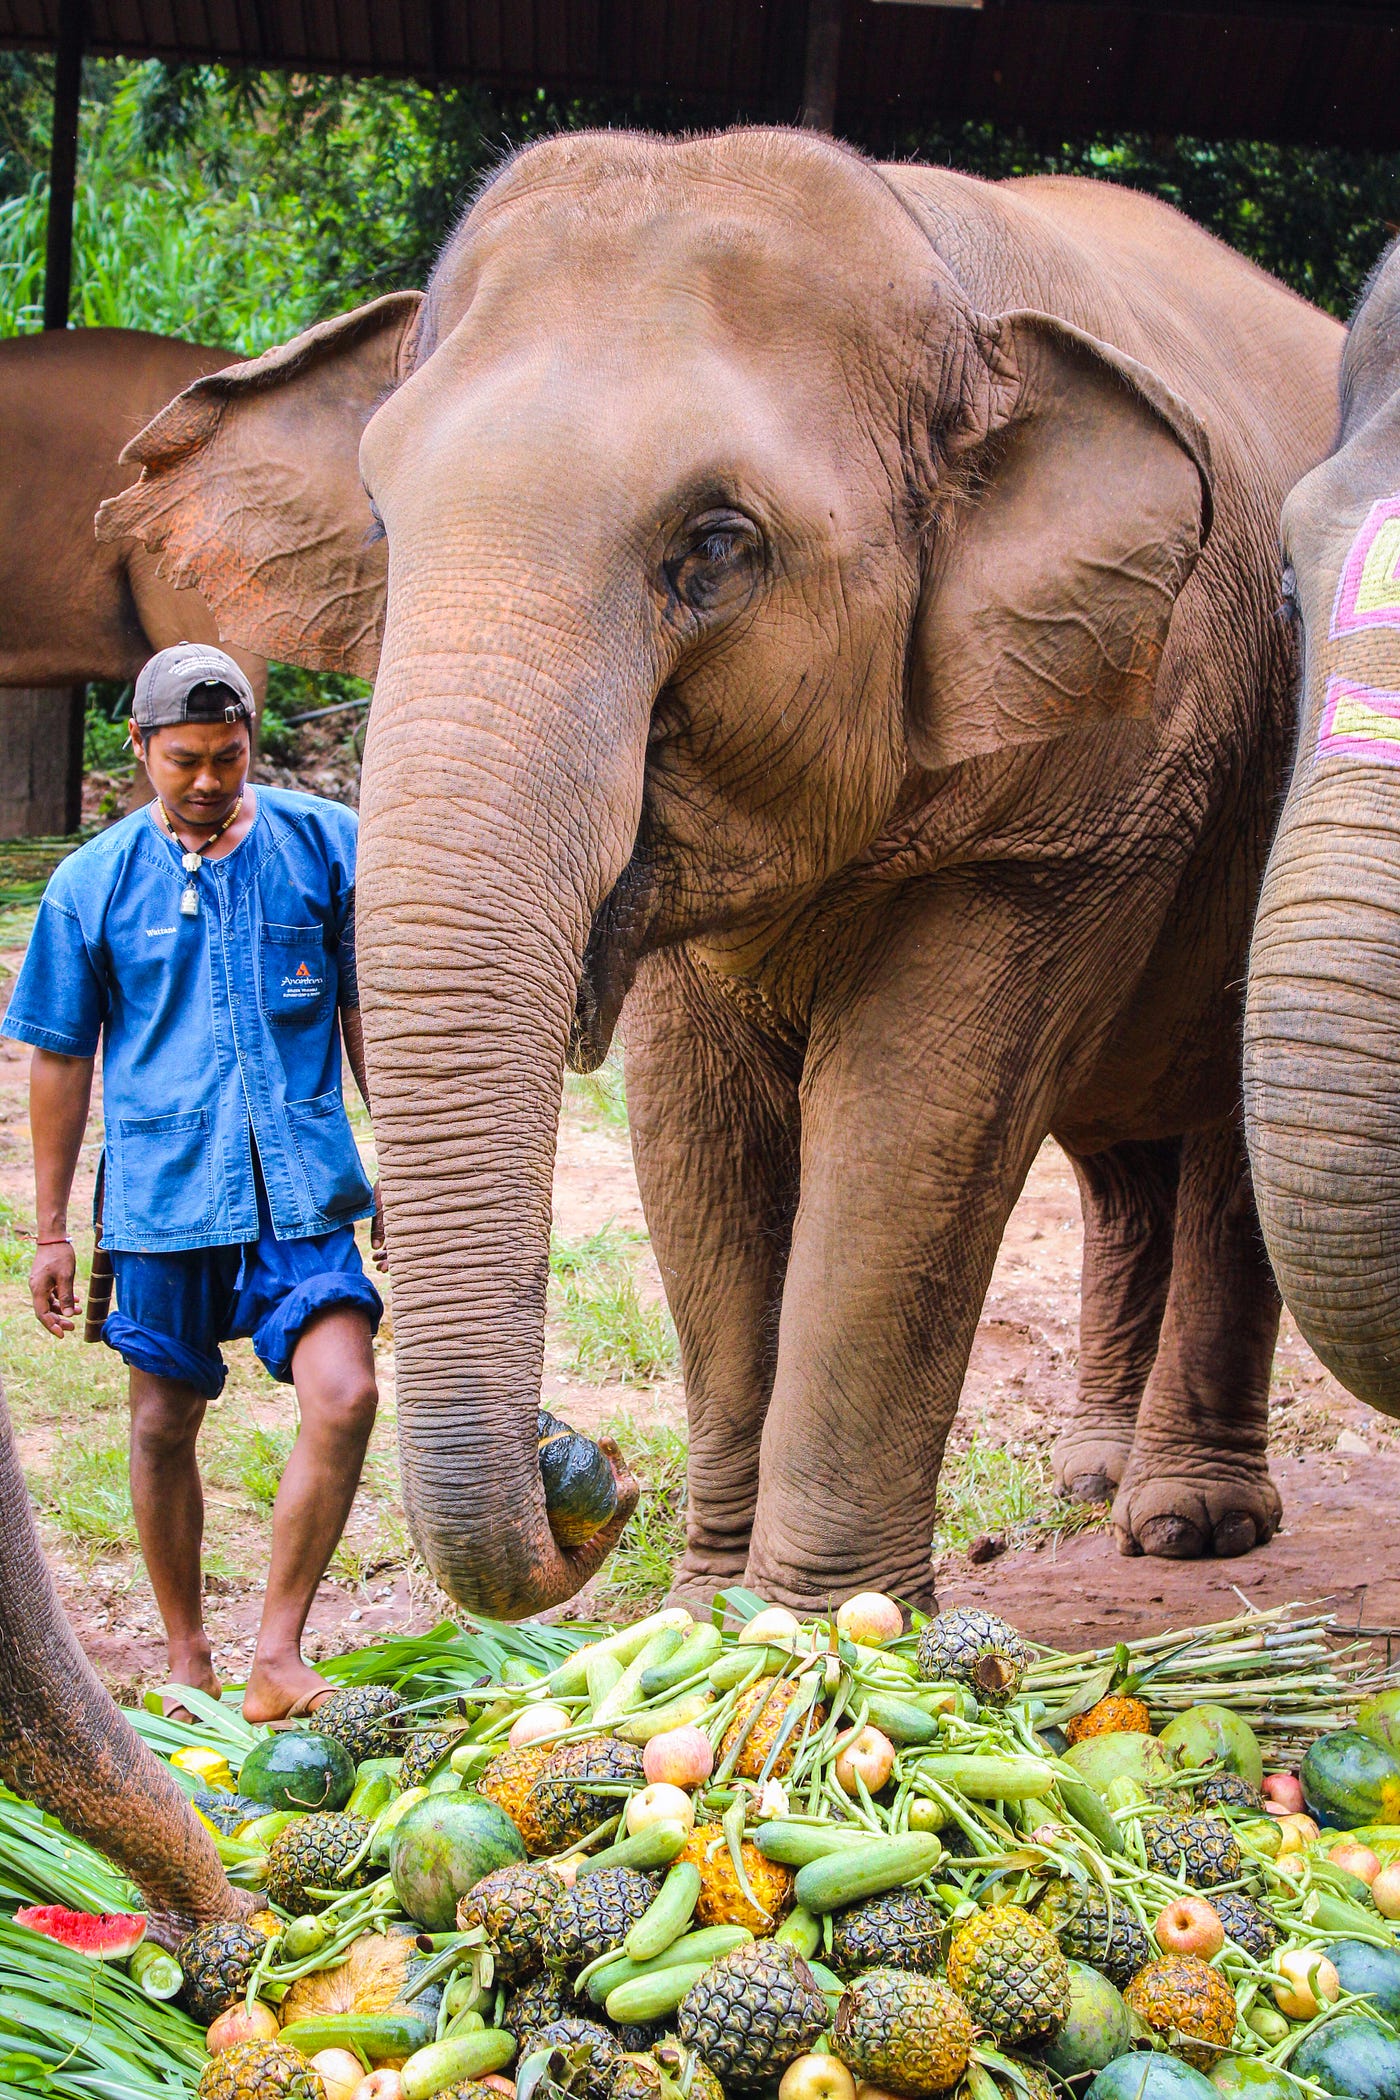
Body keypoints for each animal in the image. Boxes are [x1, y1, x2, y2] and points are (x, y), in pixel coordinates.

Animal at [100, 128, 1343, 1617]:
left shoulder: (1080, 802)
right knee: (1121, 1155)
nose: (596, 1475)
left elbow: (911, 1141)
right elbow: (695, 1149)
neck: (929, 260)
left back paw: (1187, 1523)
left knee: (1222, 1142)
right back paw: (1093, 1480)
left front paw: (822, 1632)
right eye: (386, 529)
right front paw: (710, 1612)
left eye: (713, 548)